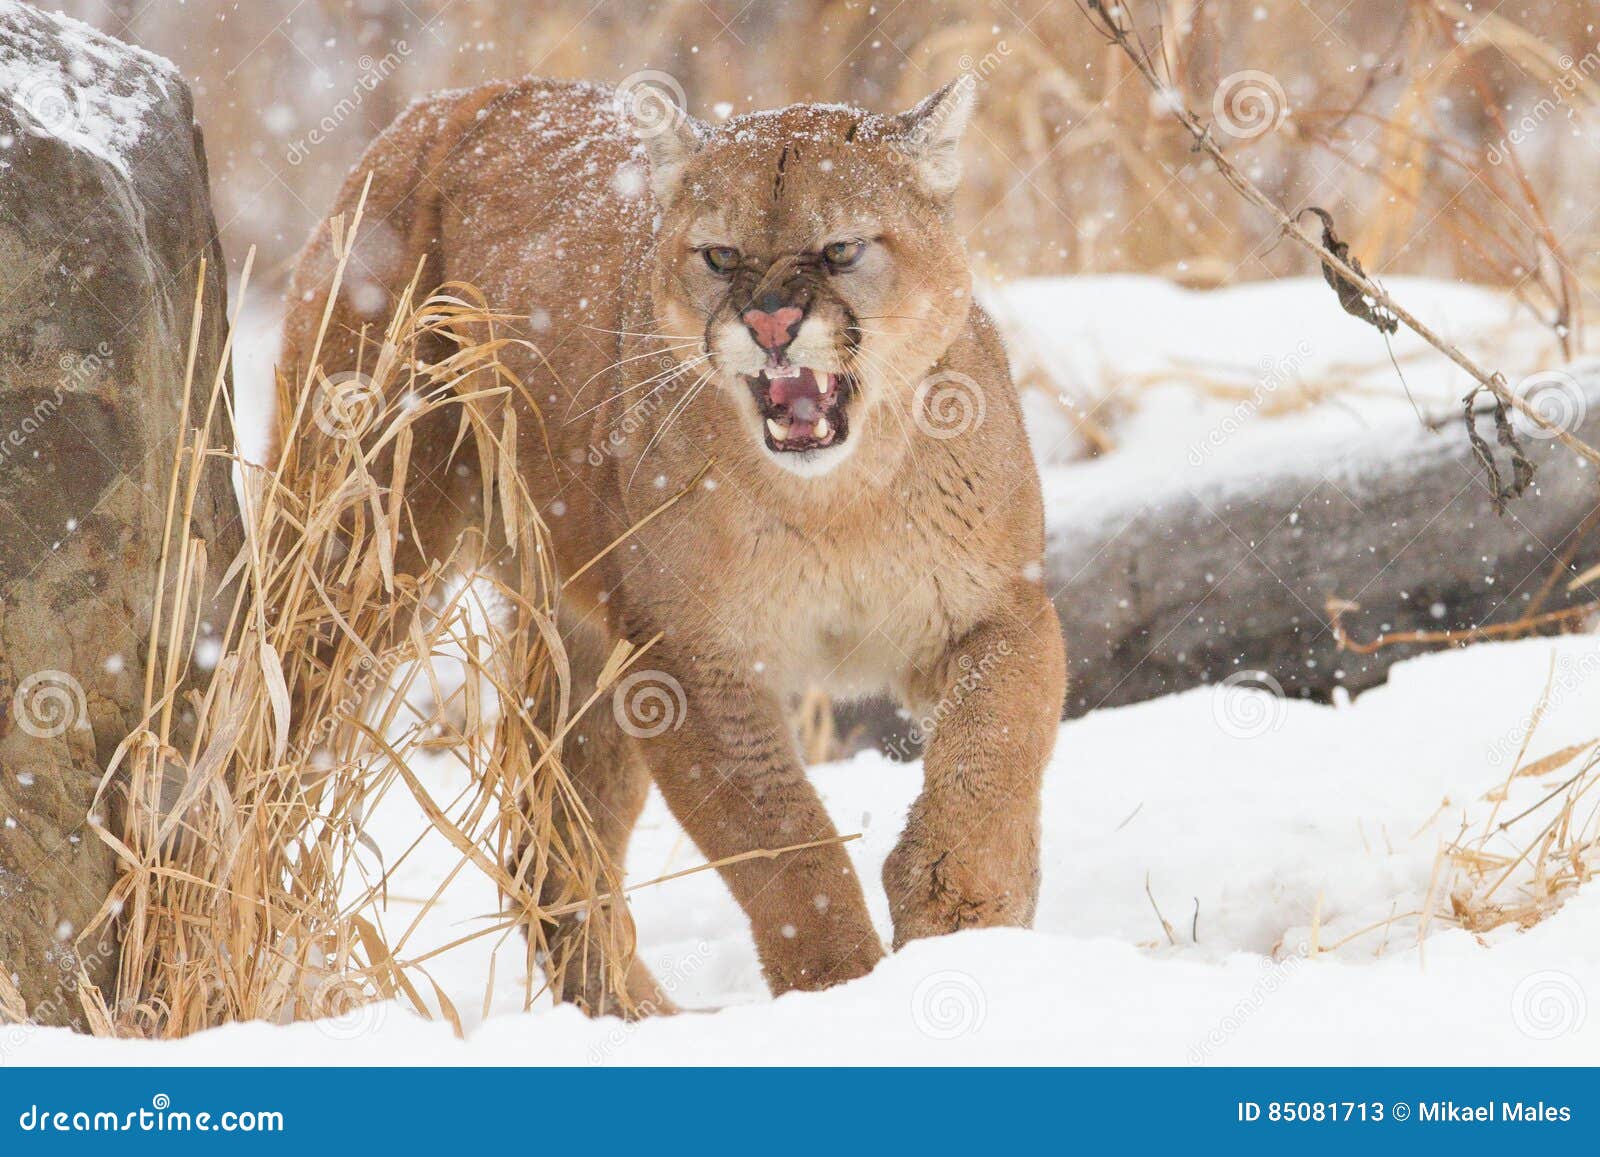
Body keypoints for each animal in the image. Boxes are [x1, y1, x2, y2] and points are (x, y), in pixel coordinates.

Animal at [282, 75, 1066, 1016]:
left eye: (841, 249)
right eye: (720, 256)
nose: (771, 322)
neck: (837, 501)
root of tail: (450, 102)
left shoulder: (1001, 607)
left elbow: (991, 756)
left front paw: (959, 915)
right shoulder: (690, 662)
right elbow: (786, 848)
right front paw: (840, 990)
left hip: (579, 632)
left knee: (544, 844)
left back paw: (636, 1020)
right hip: (359, 548)